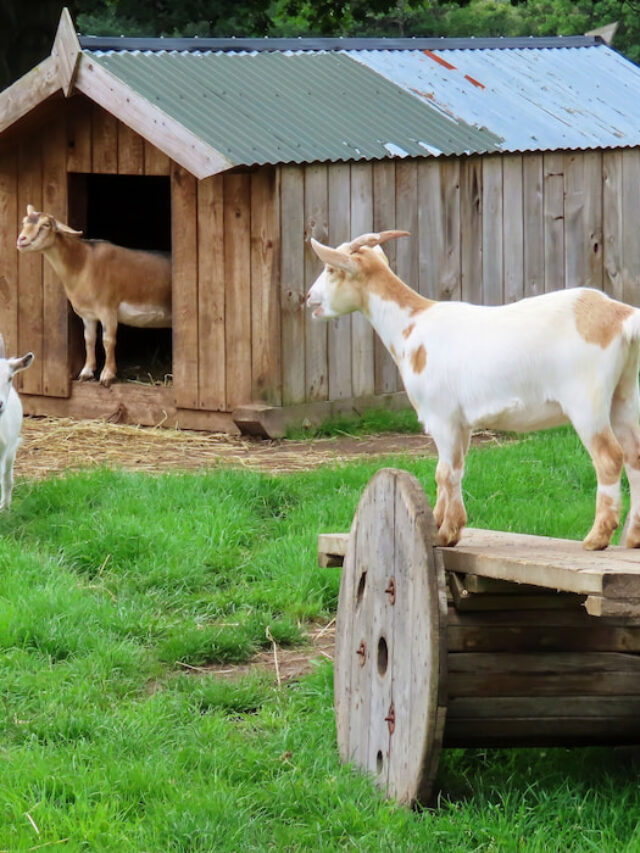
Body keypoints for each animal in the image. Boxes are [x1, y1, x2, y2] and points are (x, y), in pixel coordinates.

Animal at [16, 205, 172, 387]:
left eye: (46, 225)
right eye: (24, 222)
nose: (21, 240)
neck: (82, 264)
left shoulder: (108, 309)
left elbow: (108, 340)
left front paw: (107, 375)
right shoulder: (87, 314)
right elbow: (89, 339)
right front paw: (86, 372)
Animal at [307, 230, 640, 551]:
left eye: (331, 269)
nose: (309, 298)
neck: (410, 326)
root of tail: (620, 316)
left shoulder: (441, 416)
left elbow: (444, 472)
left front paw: (446, 534)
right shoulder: (461, 422)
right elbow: (452, 468)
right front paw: (440, 524)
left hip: (586, 400)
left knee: (610, 457)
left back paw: (597, 537)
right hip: (623, 395)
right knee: (634, 456)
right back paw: (633, 538)